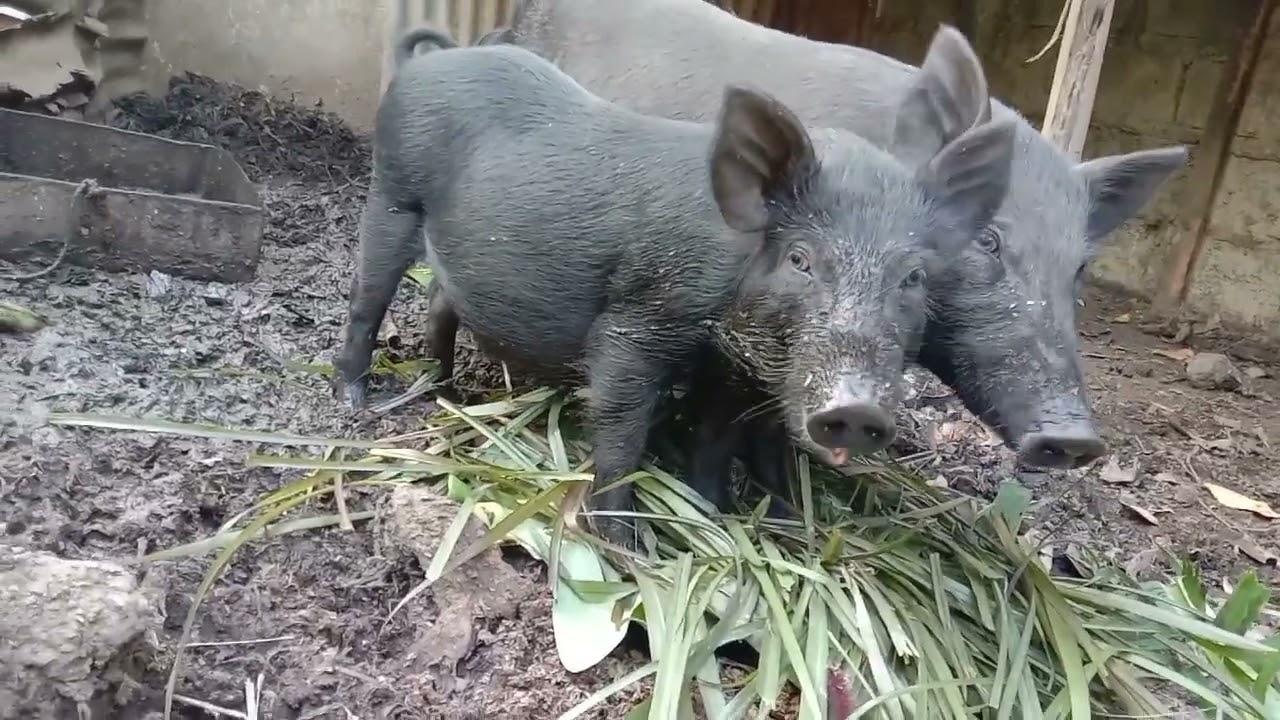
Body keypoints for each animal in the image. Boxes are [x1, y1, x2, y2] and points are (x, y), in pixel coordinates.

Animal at [334, 30, 1016, 547]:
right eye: (800, 259)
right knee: (368, 295)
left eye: (914, 277)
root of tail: (426, 62)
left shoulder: (737, 369)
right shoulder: (636, 325)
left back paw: (444, 391)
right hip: (392, 192)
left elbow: (730, 442)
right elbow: (620, 427)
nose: (855, 409)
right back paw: (357, 401)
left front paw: (736, 520)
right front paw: (629, 546)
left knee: (439, 301)